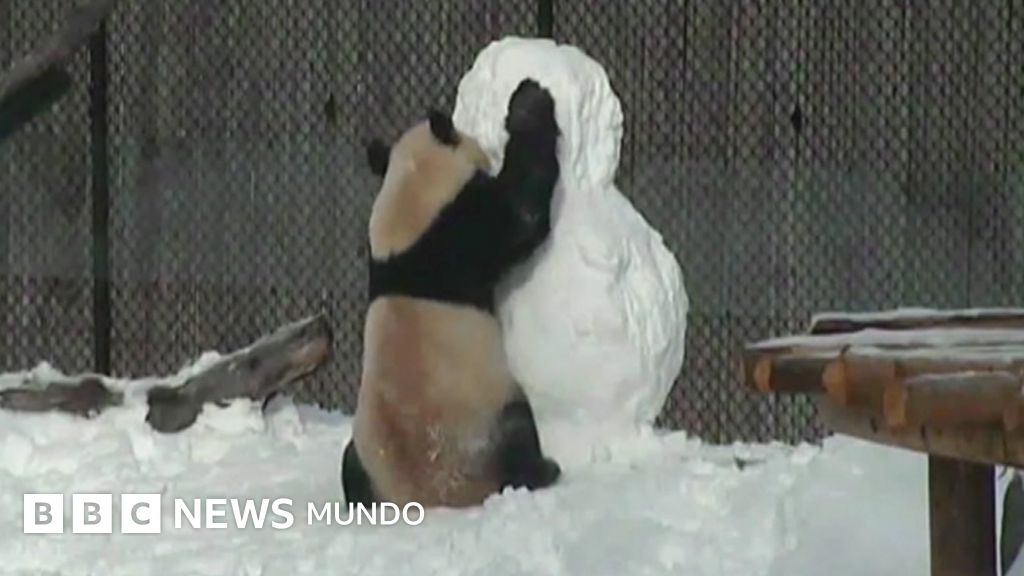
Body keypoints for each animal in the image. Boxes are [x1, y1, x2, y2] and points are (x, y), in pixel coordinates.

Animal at [341, 78, 563, 509]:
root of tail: (433, 496)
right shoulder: (464, 228)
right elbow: (523, 211)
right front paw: (529, 101)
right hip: (486, 415)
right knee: (518, 434)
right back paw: (543, 471)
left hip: (367, 456)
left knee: (350, 466)